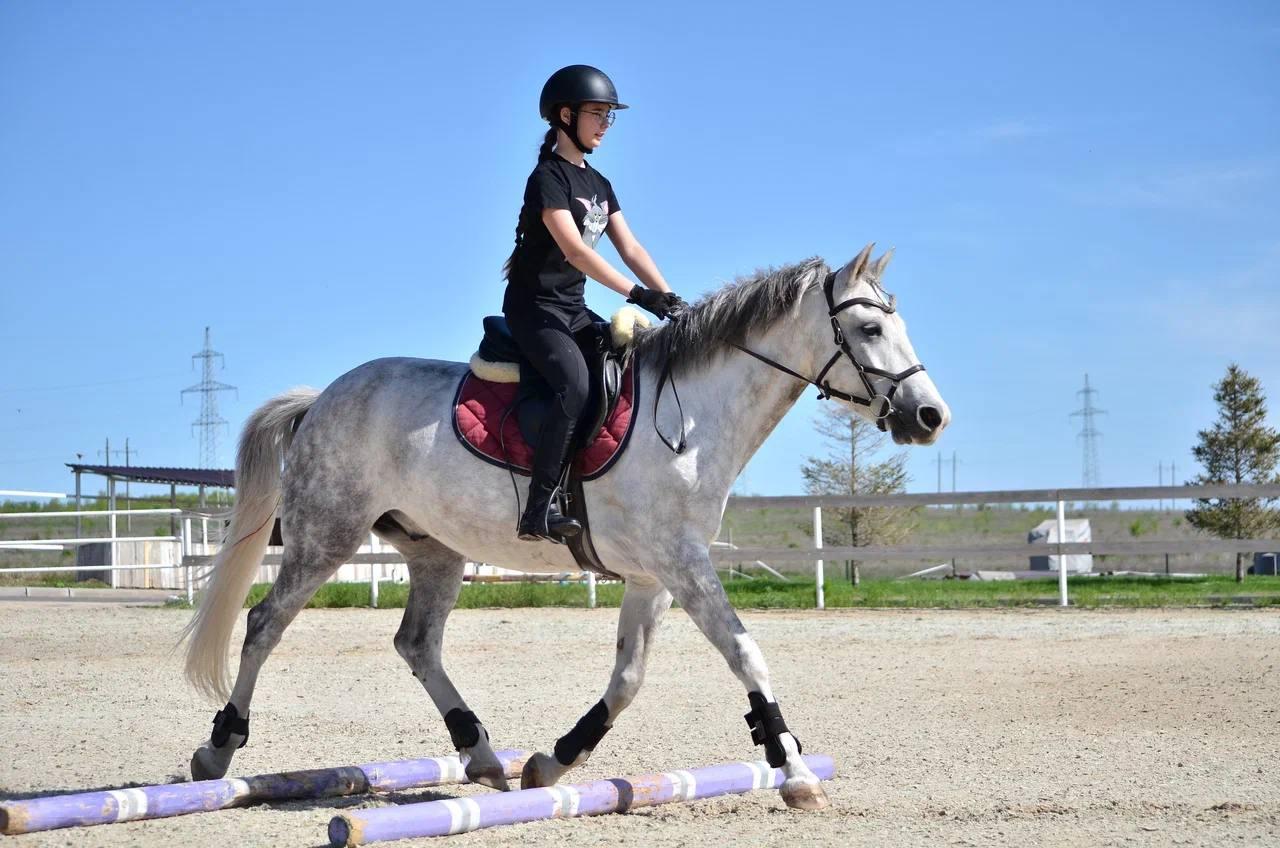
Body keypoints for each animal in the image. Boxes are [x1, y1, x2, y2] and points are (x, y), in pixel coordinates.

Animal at [180, 243, 949, 812]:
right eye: (870, 329)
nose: (930, 416)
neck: (693, 419)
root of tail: (320, 398)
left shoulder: (653, 578)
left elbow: (629, 679)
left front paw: (551, 764)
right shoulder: (682, 565)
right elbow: (746, 655)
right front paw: (795, 773)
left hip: (435, 550)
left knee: (417, 643)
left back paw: (483, 756)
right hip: (327, 535)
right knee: (265, 625)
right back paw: (218, 747)